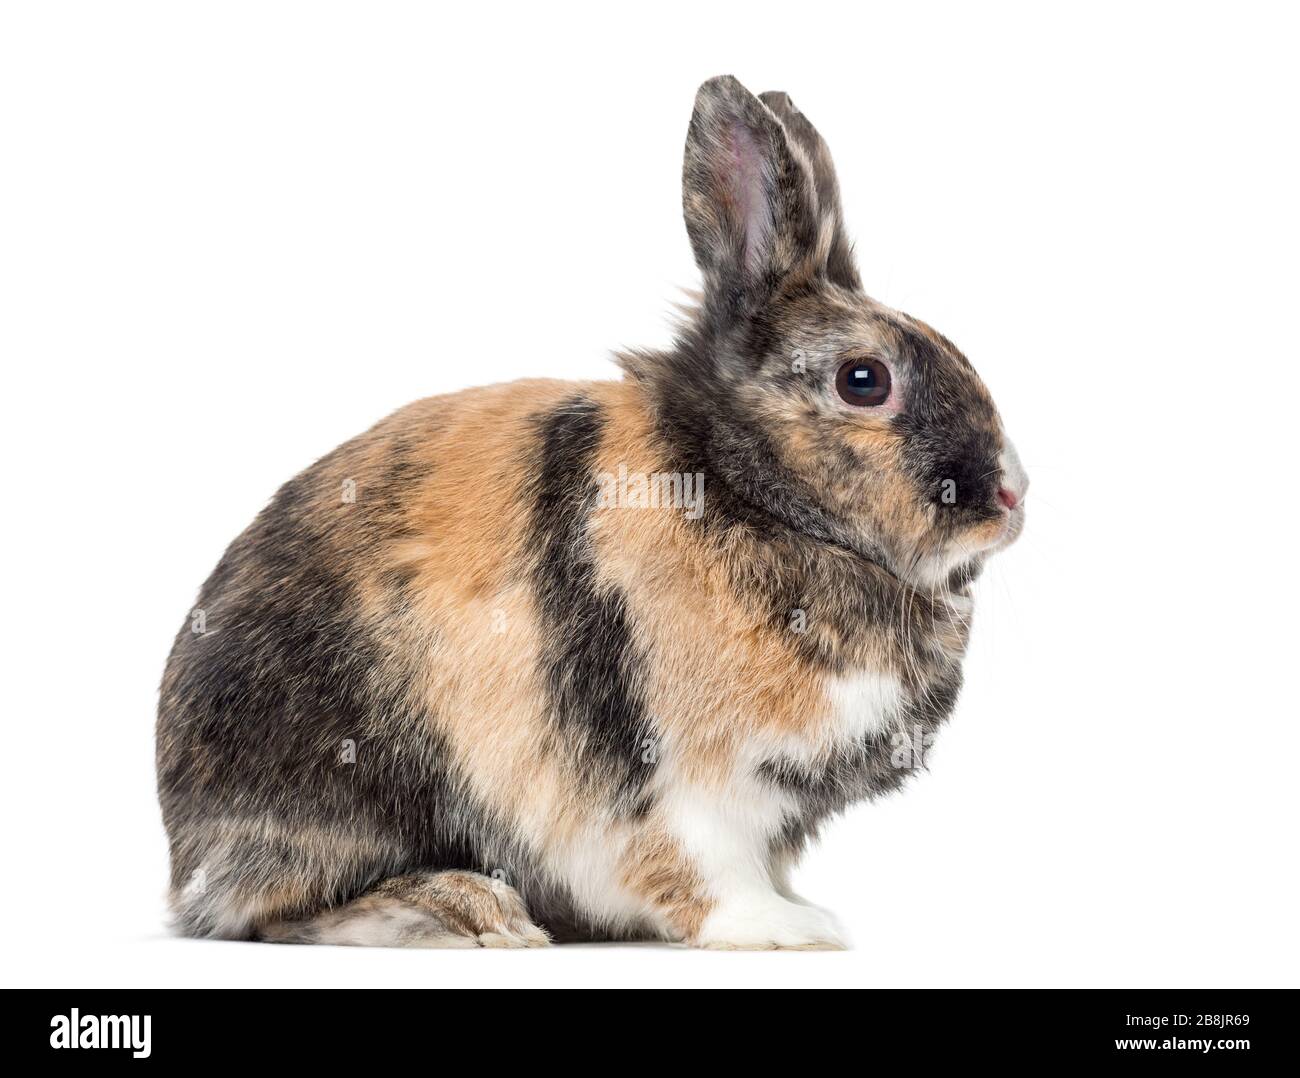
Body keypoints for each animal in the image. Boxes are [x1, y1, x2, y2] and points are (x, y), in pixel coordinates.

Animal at [157, 74, 1027, 950]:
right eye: (863, 380)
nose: (1011, 497)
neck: (746, 491)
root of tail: (182, 848)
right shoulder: (680, 783)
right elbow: (704, 868)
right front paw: (787, 930)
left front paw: (806, 912)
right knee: (283, 913)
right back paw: (473, 911)